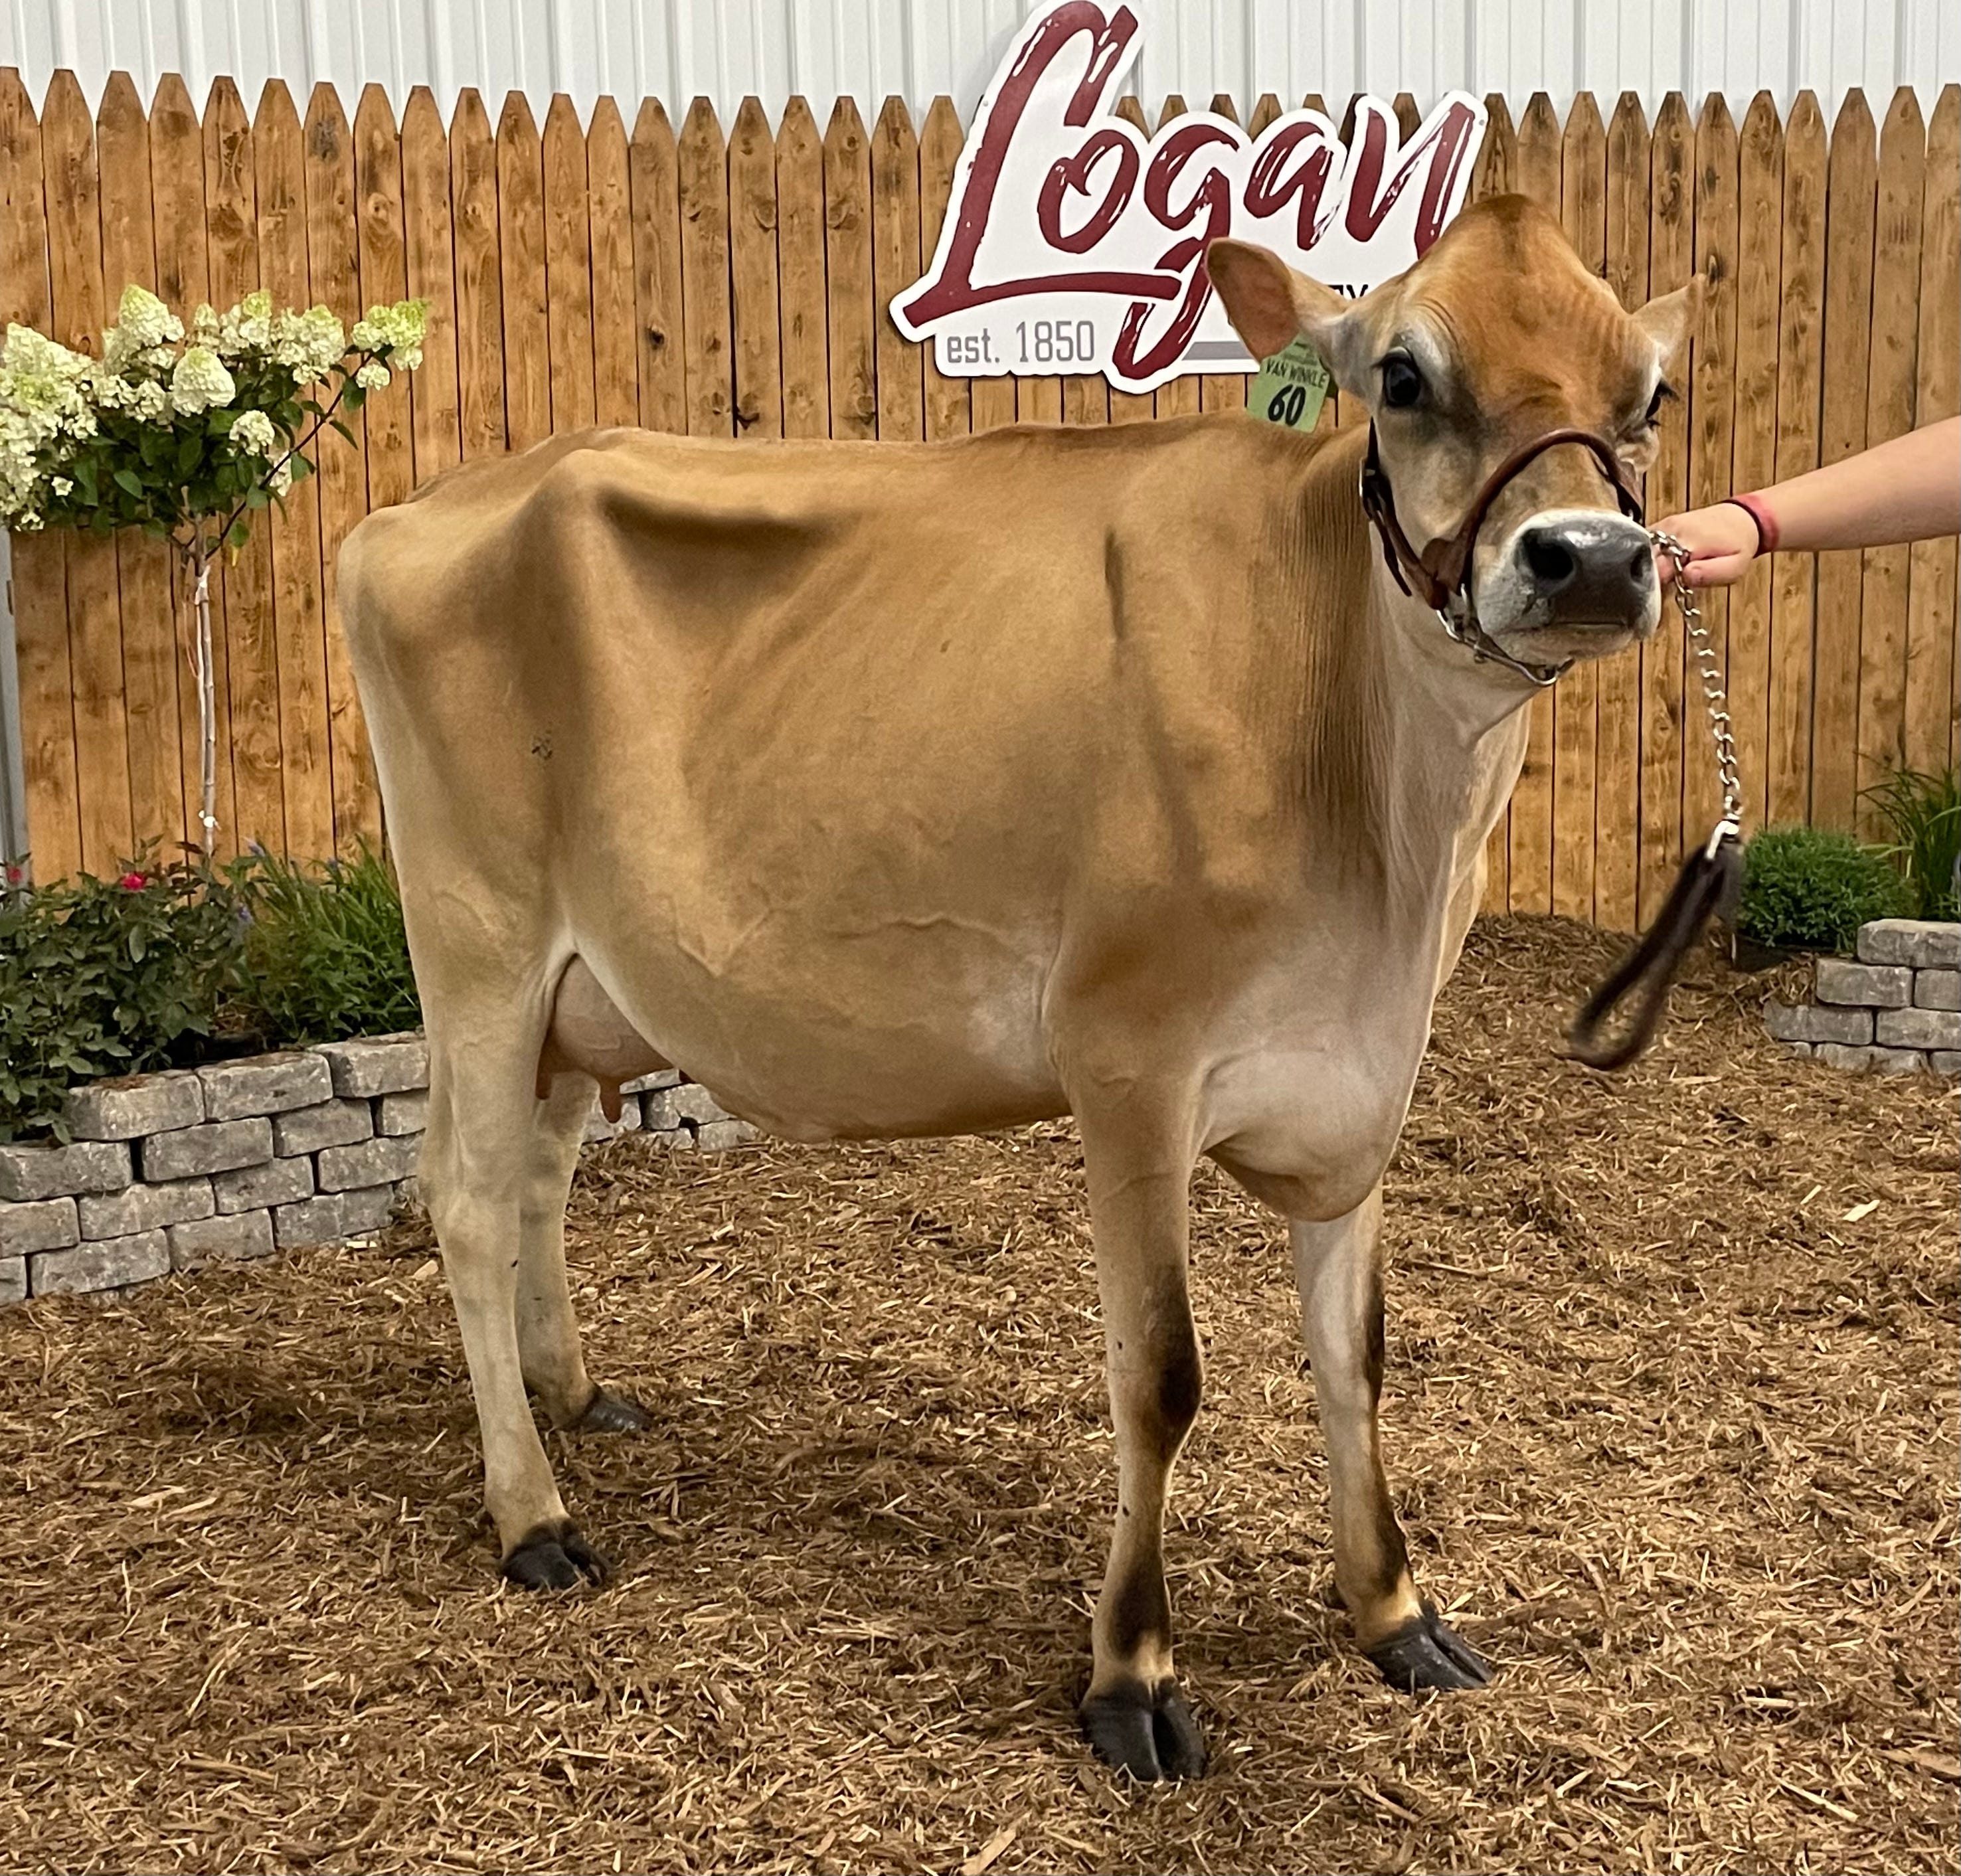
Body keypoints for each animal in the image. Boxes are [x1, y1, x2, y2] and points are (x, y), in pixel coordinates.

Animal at [338, 194, 1700, 1781]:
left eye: (1650, 395)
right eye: (1406, 375)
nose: (1588, 556)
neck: (1385, 845)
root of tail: (420, 506)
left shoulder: (1361, 1074)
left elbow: (1354, 1355)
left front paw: (1395, 1610)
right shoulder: (1127, 1057)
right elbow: (1160, 1377)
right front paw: (1132, 1677)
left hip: (579, 983)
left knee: (544, 1172)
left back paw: (573, 1396)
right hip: (477, 937)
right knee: (467, 1195)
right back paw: (532, 1515)